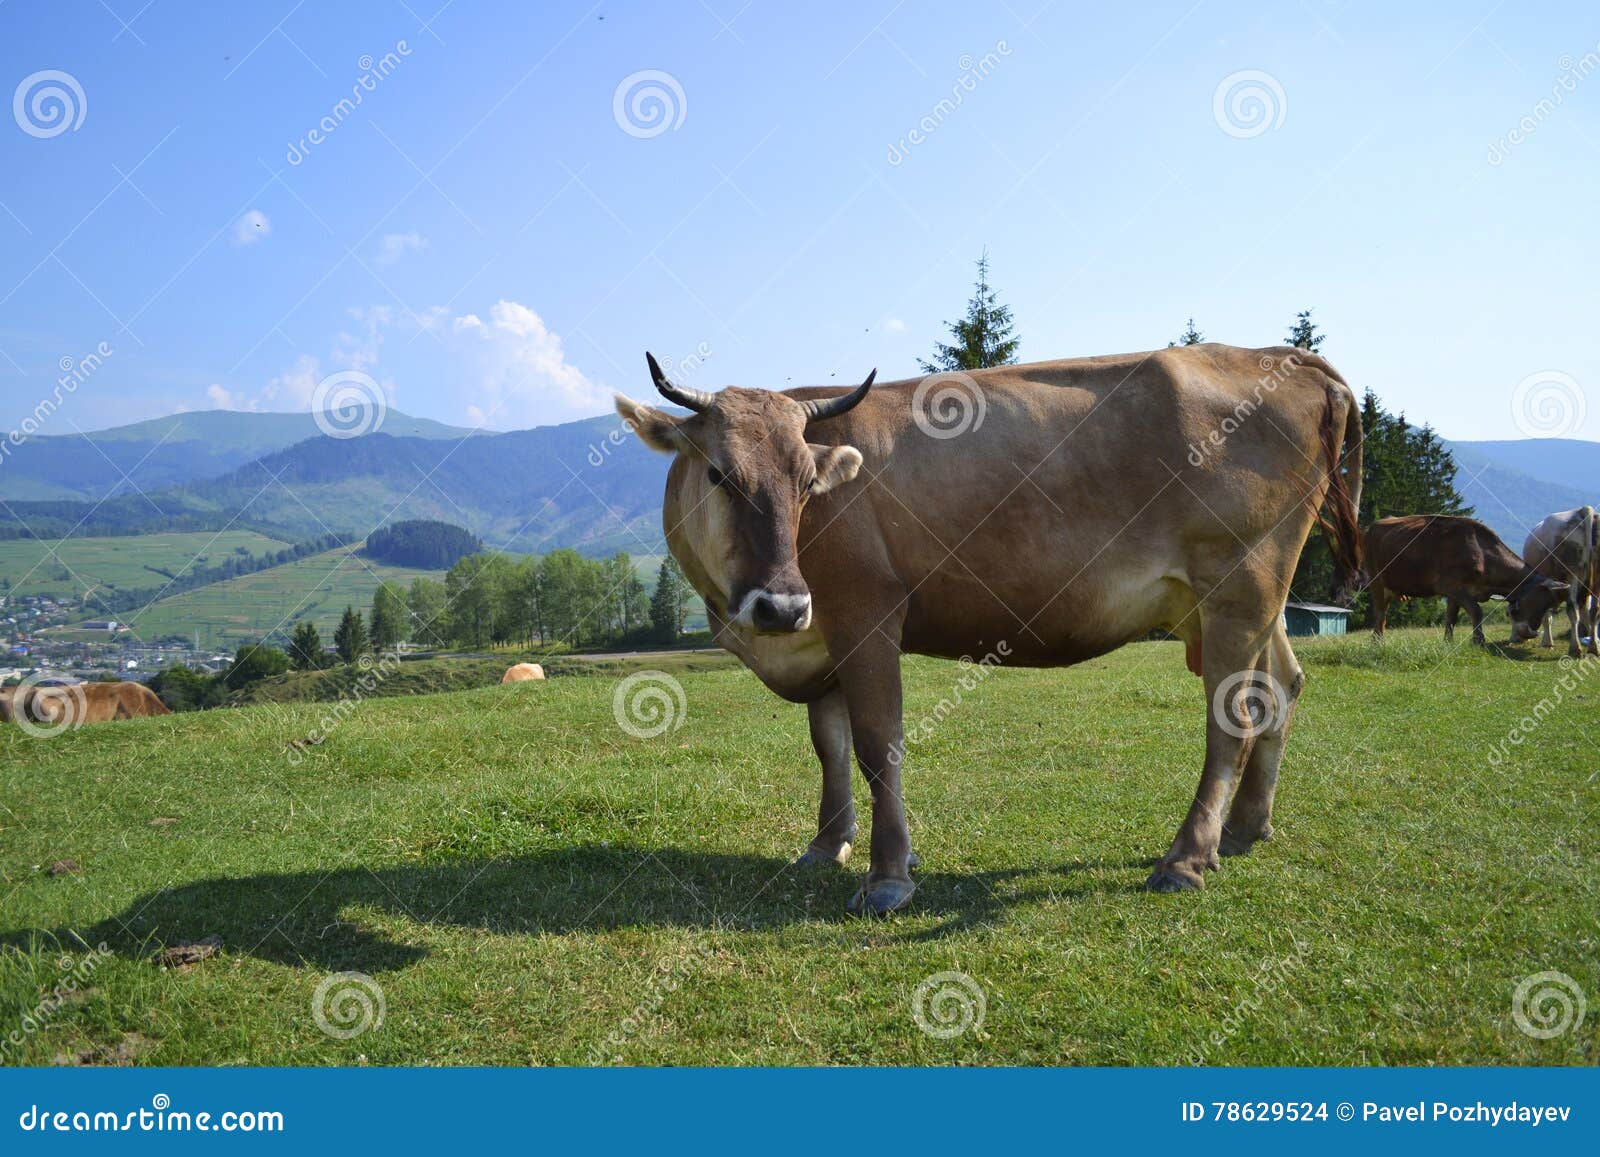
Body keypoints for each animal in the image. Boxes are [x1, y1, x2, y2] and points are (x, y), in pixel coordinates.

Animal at [616, 343, 1365, 914]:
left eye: (807, 483)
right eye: (719, 474)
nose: (780, 605)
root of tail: (1277, 355)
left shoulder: (866, 612)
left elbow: (877, 743)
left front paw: (889, 876)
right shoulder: (819, 639)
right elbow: (829, 747)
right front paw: (827, 845)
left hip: (1239, 581)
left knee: (1232, 715)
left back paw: (1185, 857)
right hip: (1248, 599)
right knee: (1281, 688)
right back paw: (1244, 829)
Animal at [1365, 515, 1567, 645]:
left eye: (1550, 606)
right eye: (1537, 601)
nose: (1530, 634)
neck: (1483, 554)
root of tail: (1374, 524)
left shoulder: (1455, 593)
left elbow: (1451, 617)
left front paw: (1448, 642)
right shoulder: (1450, 585)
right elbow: (1476, 611)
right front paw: (1478, 641)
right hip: (1376, 580)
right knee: (1380, 614)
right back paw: (1377, 643)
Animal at [1522, 506, 1600, 658]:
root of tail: (1582, 510)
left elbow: (1547, 615)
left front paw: (1547, 642)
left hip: (1571, 574)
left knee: (1572, 611)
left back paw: (1575, 649)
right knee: (1594, 611)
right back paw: (1594, 649)